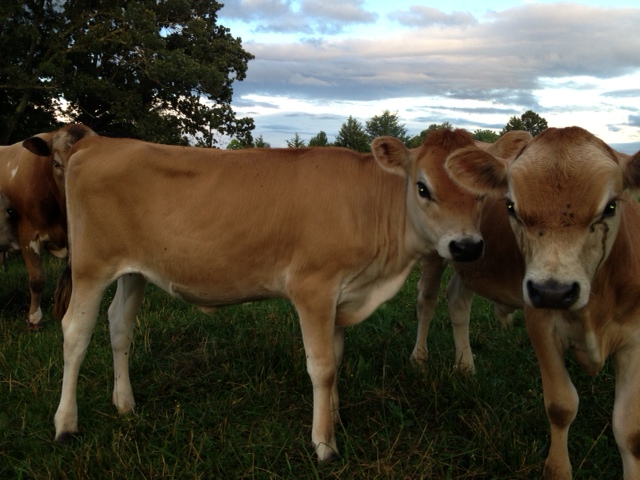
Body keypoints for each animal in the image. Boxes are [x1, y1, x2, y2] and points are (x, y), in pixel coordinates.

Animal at [33, 123, 527, 462]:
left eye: (482, 194)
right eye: (423, 187)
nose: (466, 246)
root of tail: (99, 142)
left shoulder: (340, 296)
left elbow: (337, 357)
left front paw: (335, 416)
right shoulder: (314, 287)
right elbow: (322, 366)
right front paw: (324, 443)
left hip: (134, 270)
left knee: (120, 326)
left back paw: (126, 404)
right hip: (91, 265)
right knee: (75, 333)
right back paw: (65, 424)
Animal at [437, 126, 640, 479]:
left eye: (611, 207)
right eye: (510, 207)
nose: (553, 292)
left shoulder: (635, 339)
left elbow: (629, 431)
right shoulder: (541, 324)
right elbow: (561, 406)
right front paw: (558, 468)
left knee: (458, 301)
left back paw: (465, 366)